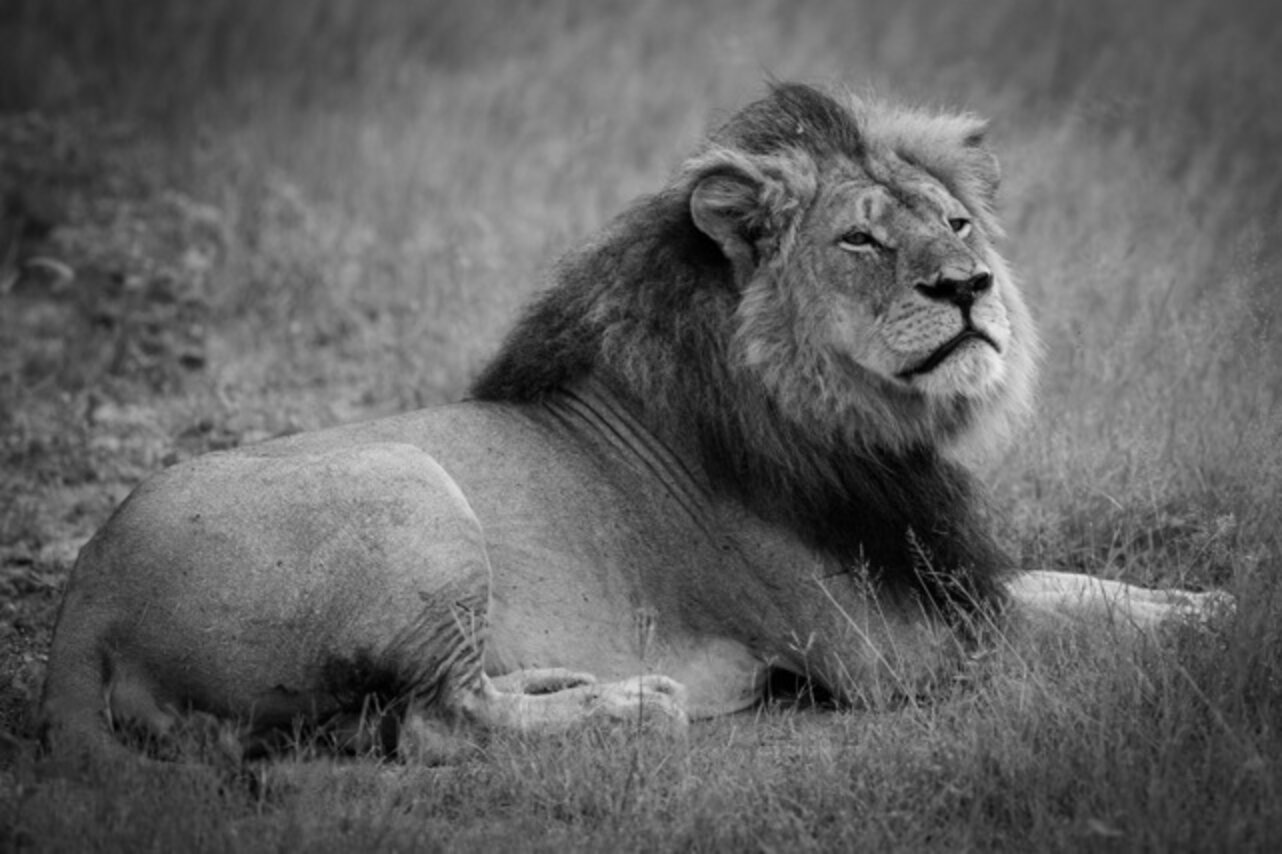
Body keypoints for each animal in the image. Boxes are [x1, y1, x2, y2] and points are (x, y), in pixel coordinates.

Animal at [38, 83, 1227, 763]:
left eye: (956, 222)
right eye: (859, 239)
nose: (969, 285)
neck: (865, 424)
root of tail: (87, 585)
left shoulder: (945, 575)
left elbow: (1084, 587)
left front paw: (1209, 602)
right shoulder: (894, 648)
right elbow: (1068, 628)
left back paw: (573, 685)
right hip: (411, 491)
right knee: (432, 725)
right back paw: (637, 703)